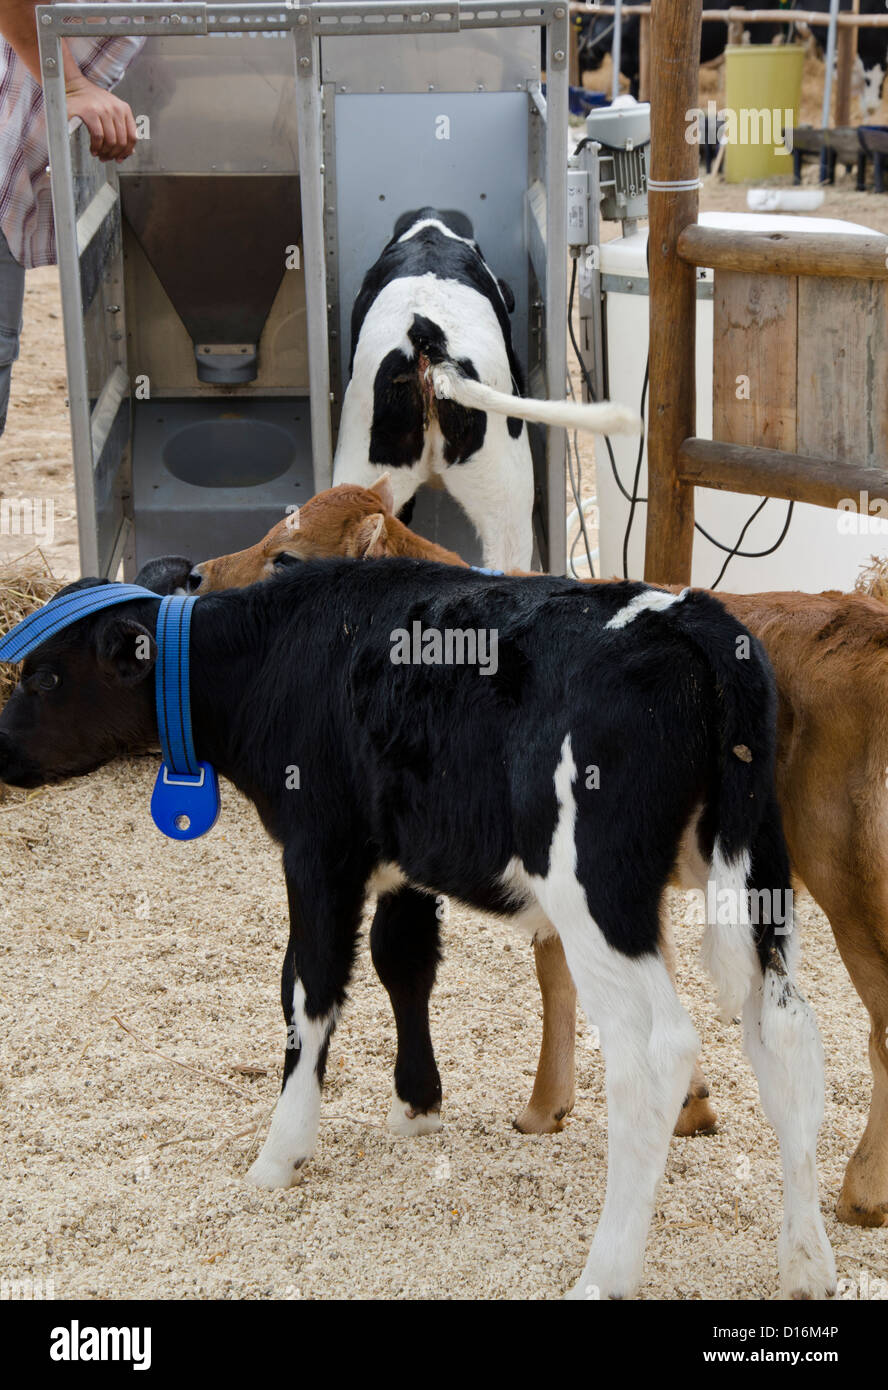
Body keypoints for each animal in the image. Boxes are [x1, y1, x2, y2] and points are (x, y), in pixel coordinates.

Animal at [0, 561, 834, 1299]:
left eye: (42, 679)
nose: (2, 755)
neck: (280, 656)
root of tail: (687, 615)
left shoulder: (318, 850)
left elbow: (308, 989)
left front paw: (280, 1154)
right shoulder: (403, 861)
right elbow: (402, 964)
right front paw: (417, 1108)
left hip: (597, 889)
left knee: (655, 1050)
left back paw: (606, 1274)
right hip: (759, 867)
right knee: (785, 1032)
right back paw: (807, 1264)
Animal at [189, 476, 888, 1229]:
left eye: (285, 558)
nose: (197, 575)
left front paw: (547, 1105)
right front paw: (678, 1107)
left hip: (849, 888)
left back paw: (861, 1192)